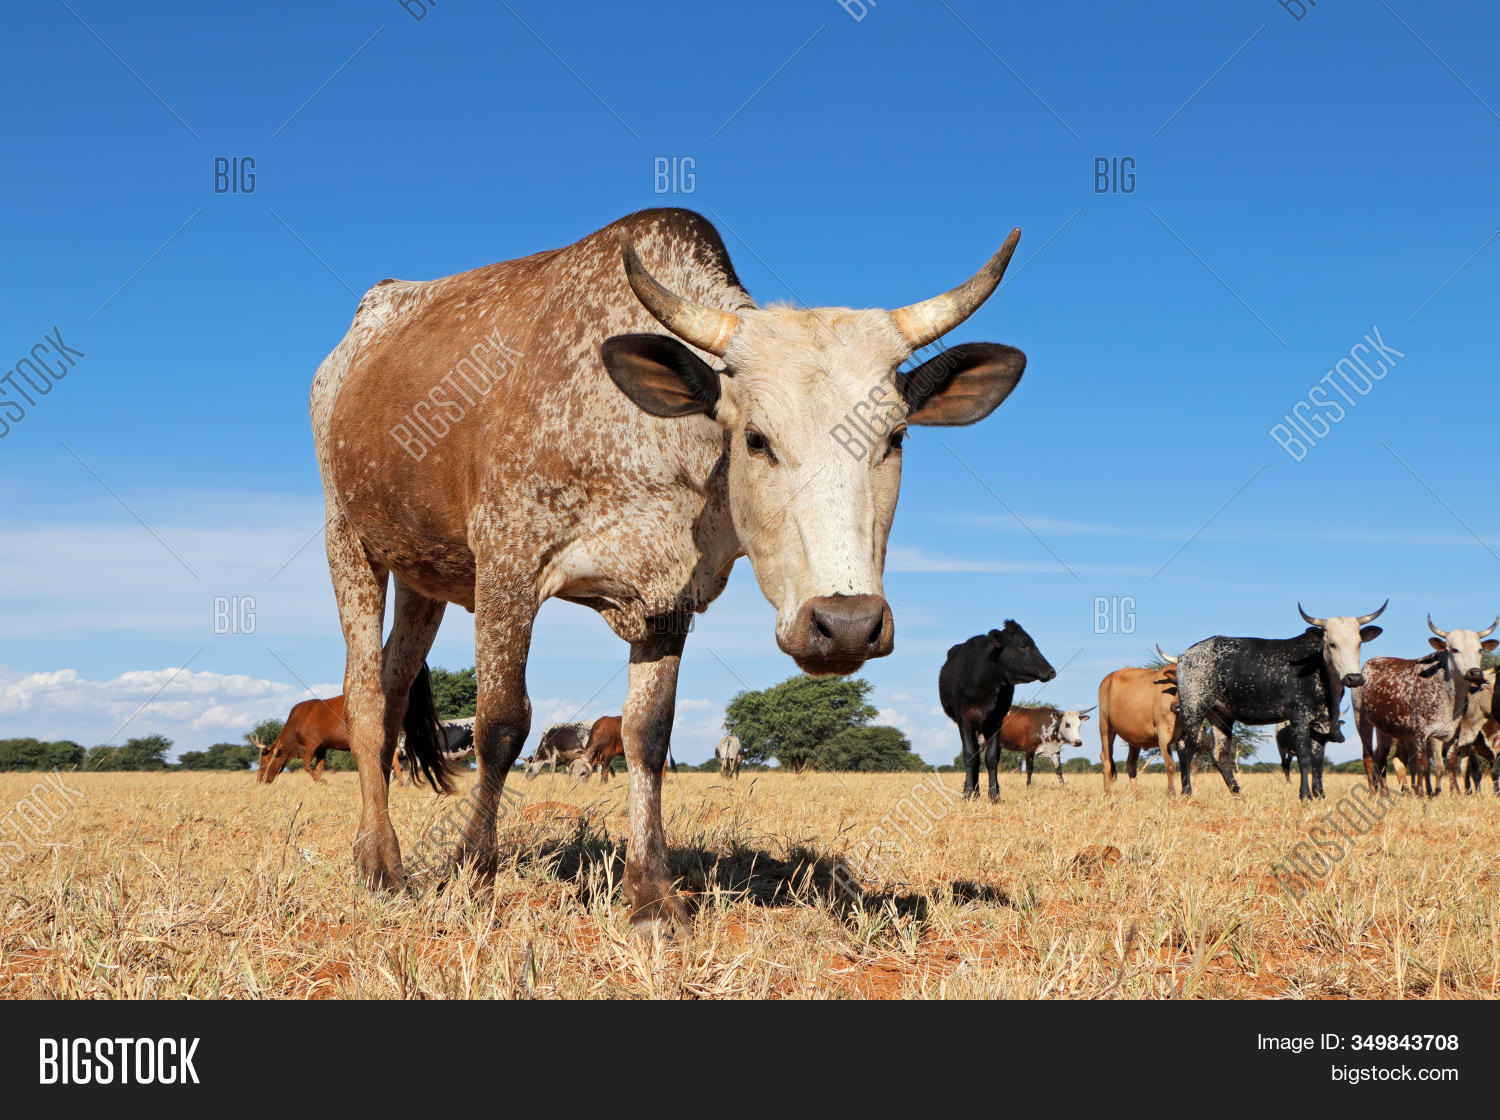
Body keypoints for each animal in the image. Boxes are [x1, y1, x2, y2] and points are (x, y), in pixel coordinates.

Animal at [313, 207, 1028, 933]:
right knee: (366, 700)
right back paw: (382, 864)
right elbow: (501, 725)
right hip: (349, 542)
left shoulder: (668, 601)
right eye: (757, 440)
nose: (847, 623)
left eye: (896, 437)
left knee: (394, 689)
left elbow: (647, 736)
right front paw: (471, 876)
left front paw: (651, 892)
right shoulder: (509, 566)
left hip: (422, 578)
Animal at [938, 622, 1057, 802]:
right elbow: (970, 756)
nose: (1051, 671)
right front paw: (967, 794)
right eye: (1024, 645)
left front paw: (994, 795)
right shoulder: (964, 721)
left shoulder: (995, 721)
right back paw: (974, 793)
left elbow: (992, 758)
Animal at [1097, 647, 1183, 794]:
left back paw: (1136, 796)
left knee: (1131, 764)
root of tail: (1109, 677)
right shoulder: (1163, 733)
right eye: (1177, 680)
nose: (1175, 706)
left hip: (1134, 737)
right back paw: (1107, 795)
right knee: (1107, 759)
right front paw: (1172, 795)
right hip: (1105, 726)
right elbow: (1170, 765)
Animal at [1173, 602, 1387, 800]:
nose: (1354, 678)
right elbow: (1304, 757)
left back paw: (1239, 796)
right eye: (1332, 644)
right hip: (1194, 706)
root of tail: (1186, 655)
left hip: (1220, 714)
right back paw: (1186, 793)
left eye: (1359, 643)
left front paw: (1319, 794)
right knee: (1185, 746)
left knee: (1220, 754)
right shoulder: (1299, 717)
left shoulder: (1319, 722)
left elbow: (1317, 761)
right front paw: (1305, 795)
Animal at [1354, 616, 1498, 797]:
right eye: (1454, 650)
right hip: (1362, 720)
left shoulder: (1454, 733)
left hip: (1385, 729)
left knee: (1381, 759)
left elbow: (1452, 763)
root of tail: (1372, 662)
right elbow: (1424, 765)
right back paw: (1374, 794)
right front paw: (1424, 795)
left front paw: (1455, 794)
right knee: (1368, 757)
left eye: (1479, 650)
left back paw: (1385, 794)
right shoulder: (1423, 733)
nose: (1475, 672)